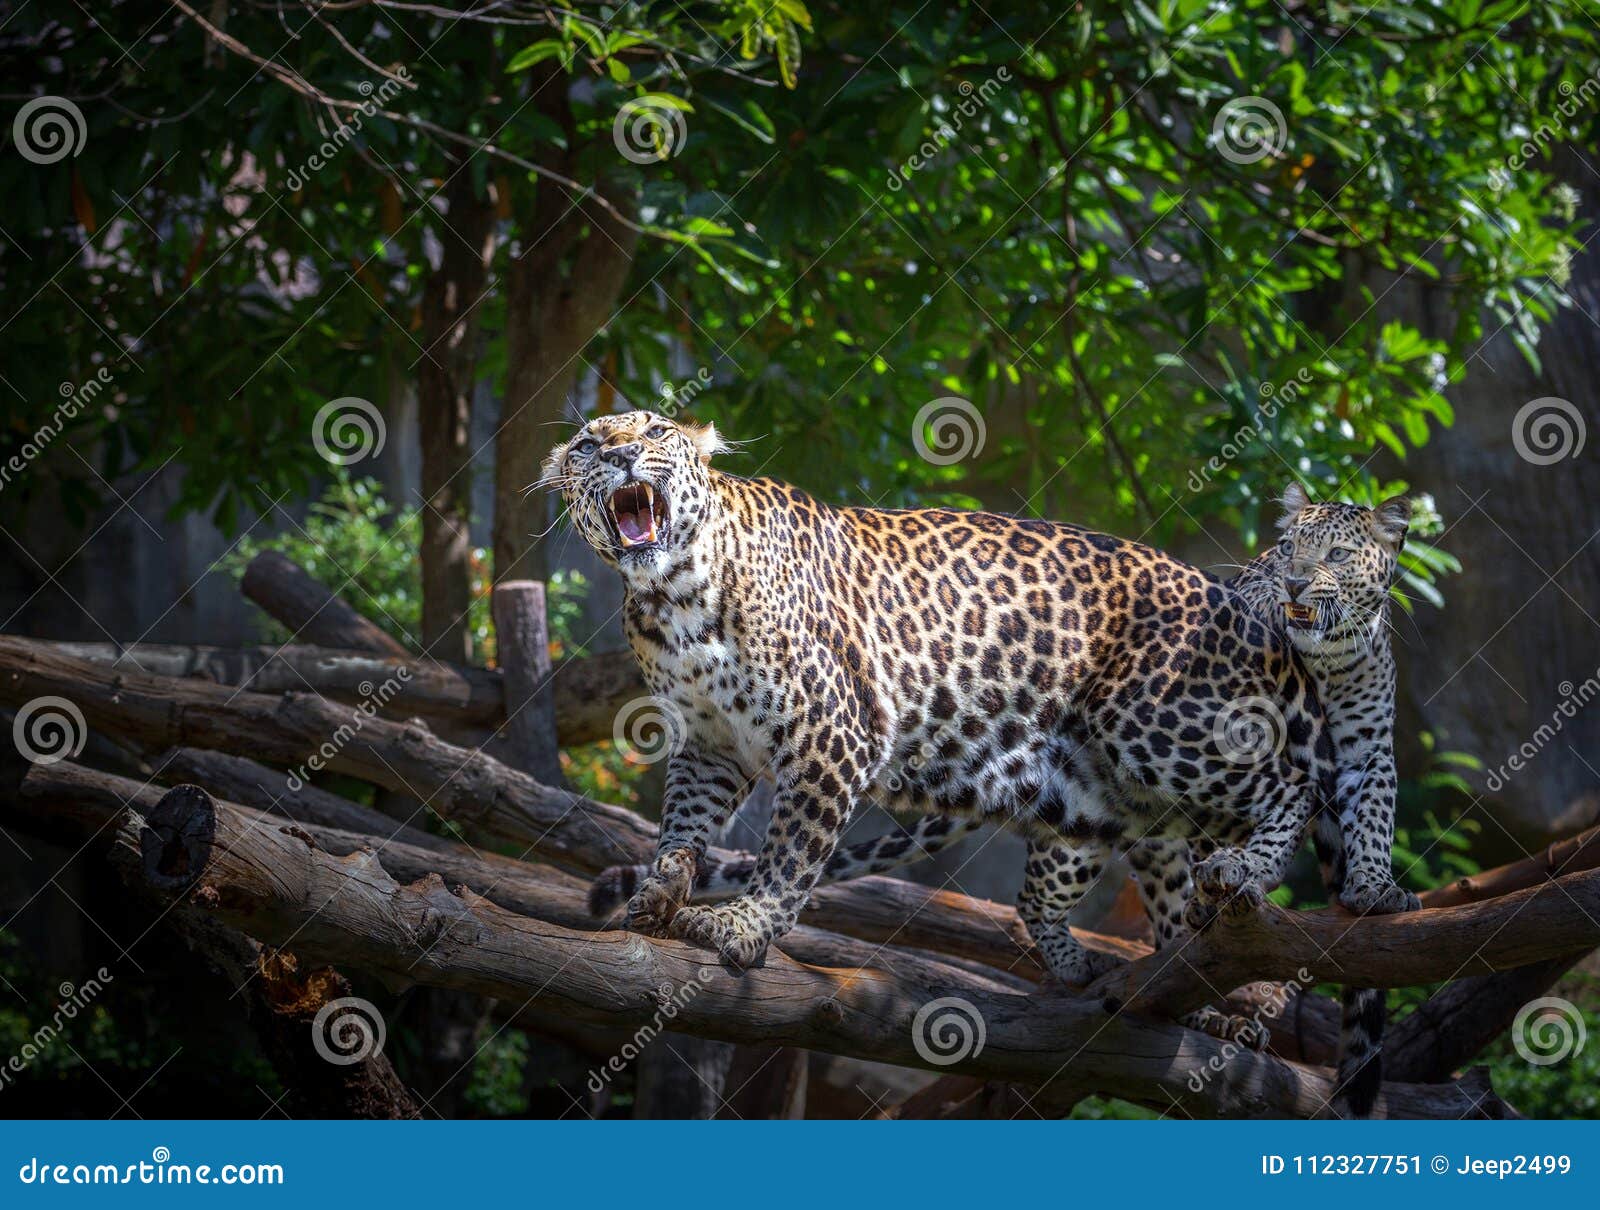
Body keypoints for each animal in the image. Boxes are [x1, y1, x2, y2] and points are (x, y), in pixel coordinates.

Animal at [543, 410, 1342, 1003]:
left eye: (654, 432)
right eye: (588, 444)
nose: (621, 456)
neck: (673, 594)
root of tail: (1243, 606)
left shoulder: (835, 734)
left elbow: (791, 853)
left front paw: (742, 925)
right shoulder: (710, 741)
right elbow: (683, 827)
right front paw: (658, 895)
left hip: (1159, 720)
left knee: (1292, 785)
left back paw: (1246, 878)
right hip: (1094, 801)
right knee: (1093, 888)